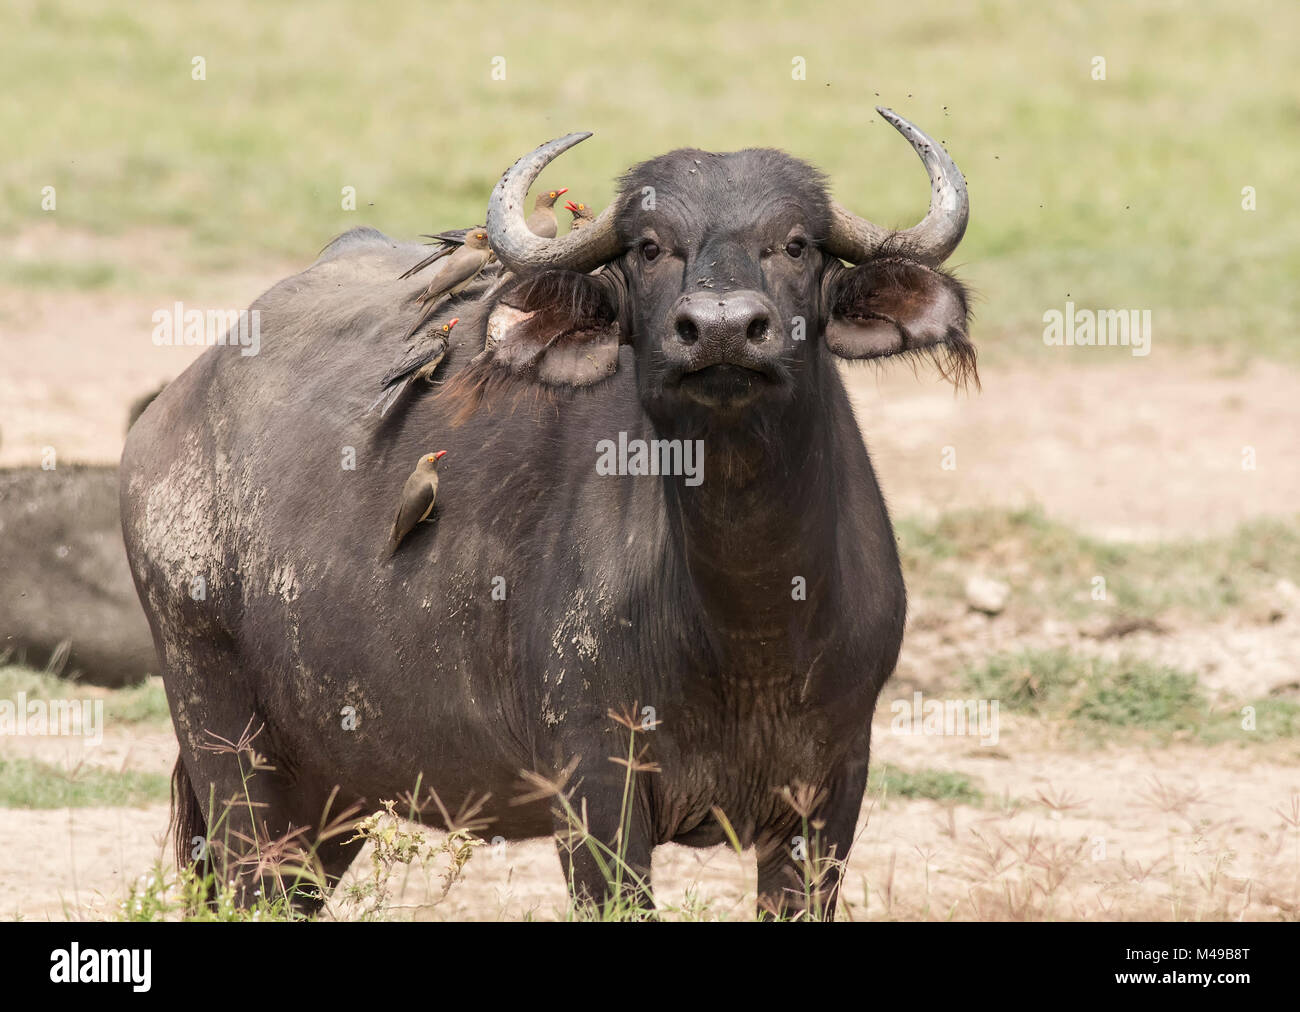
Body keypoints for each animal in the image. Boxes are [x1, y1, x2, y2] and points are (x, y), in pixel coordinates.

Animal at [121, 108, 974, 918]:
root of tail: (169, 412)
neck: (748, 630)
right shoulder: (594, 785)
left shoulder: (832, 790)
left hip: (333, 789)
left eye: (796, 244)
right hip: (223, 734)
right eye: (649, 247)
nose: (722, 329)